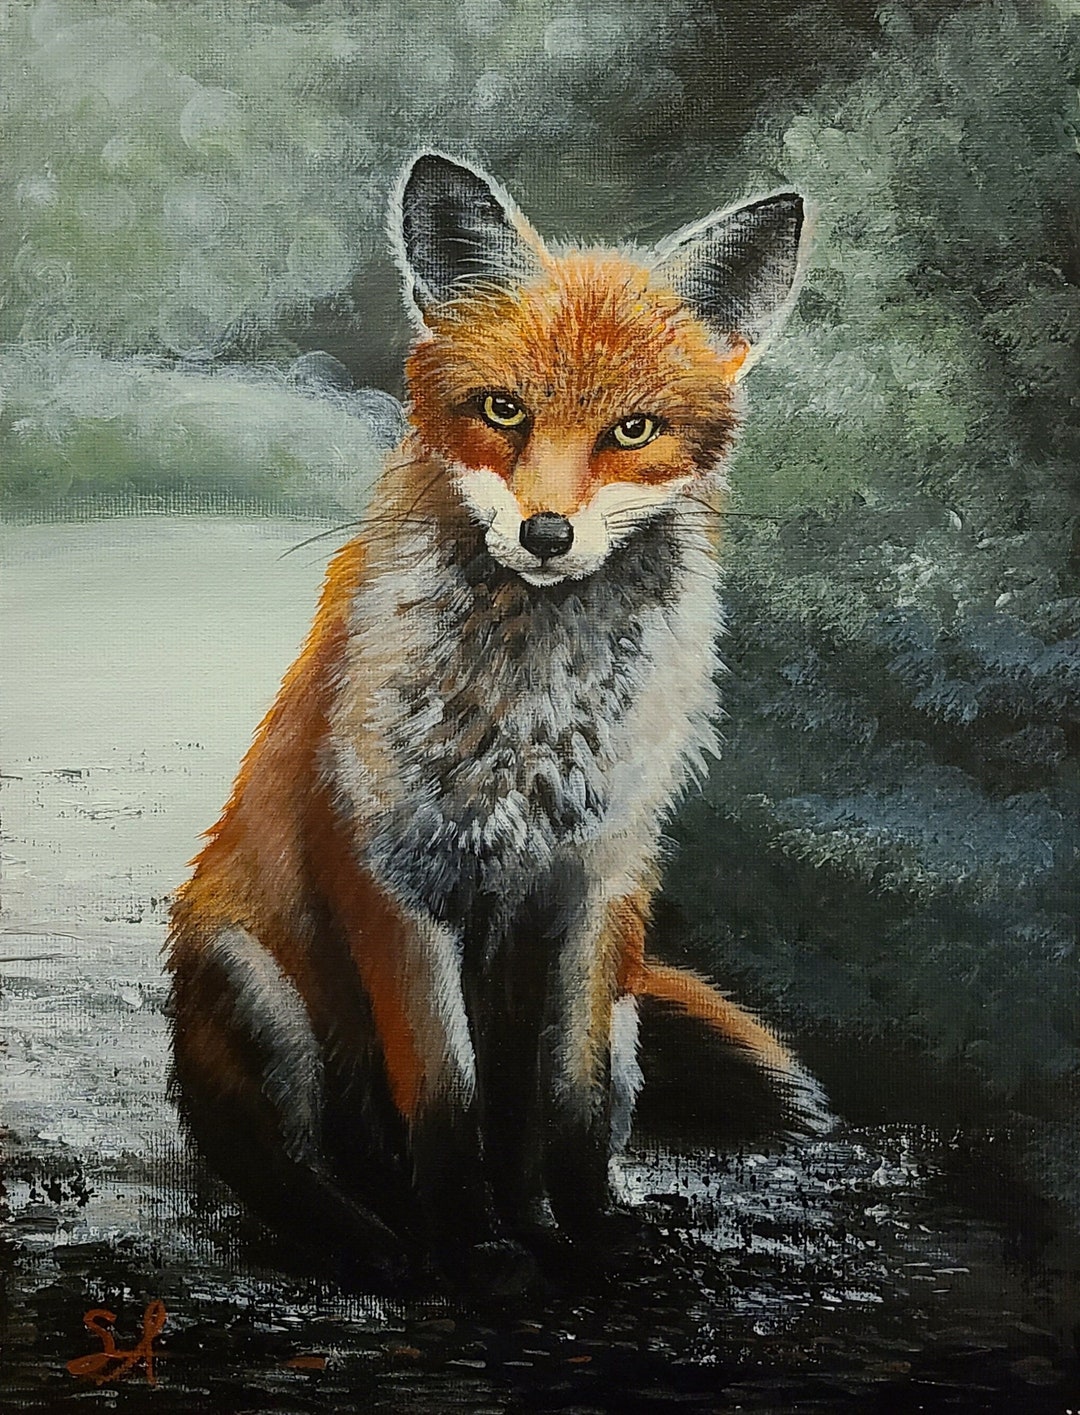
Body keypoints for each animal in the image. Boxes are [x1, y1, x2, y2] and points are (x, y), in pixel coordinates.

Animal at [166, 152, 826, 1297]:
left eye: (632, 430)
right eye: (504, 409)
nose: (547, 533)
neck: (534, 717)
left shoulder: (596, 881)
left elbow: (561, 1108)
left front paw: (581, 1232)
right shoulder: (395, 872)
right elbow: (447, 1094)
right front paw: (474, 1246)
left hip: (624, 1011)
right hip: (250, 986)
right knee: (272, 1173)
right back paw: (367, 1233)